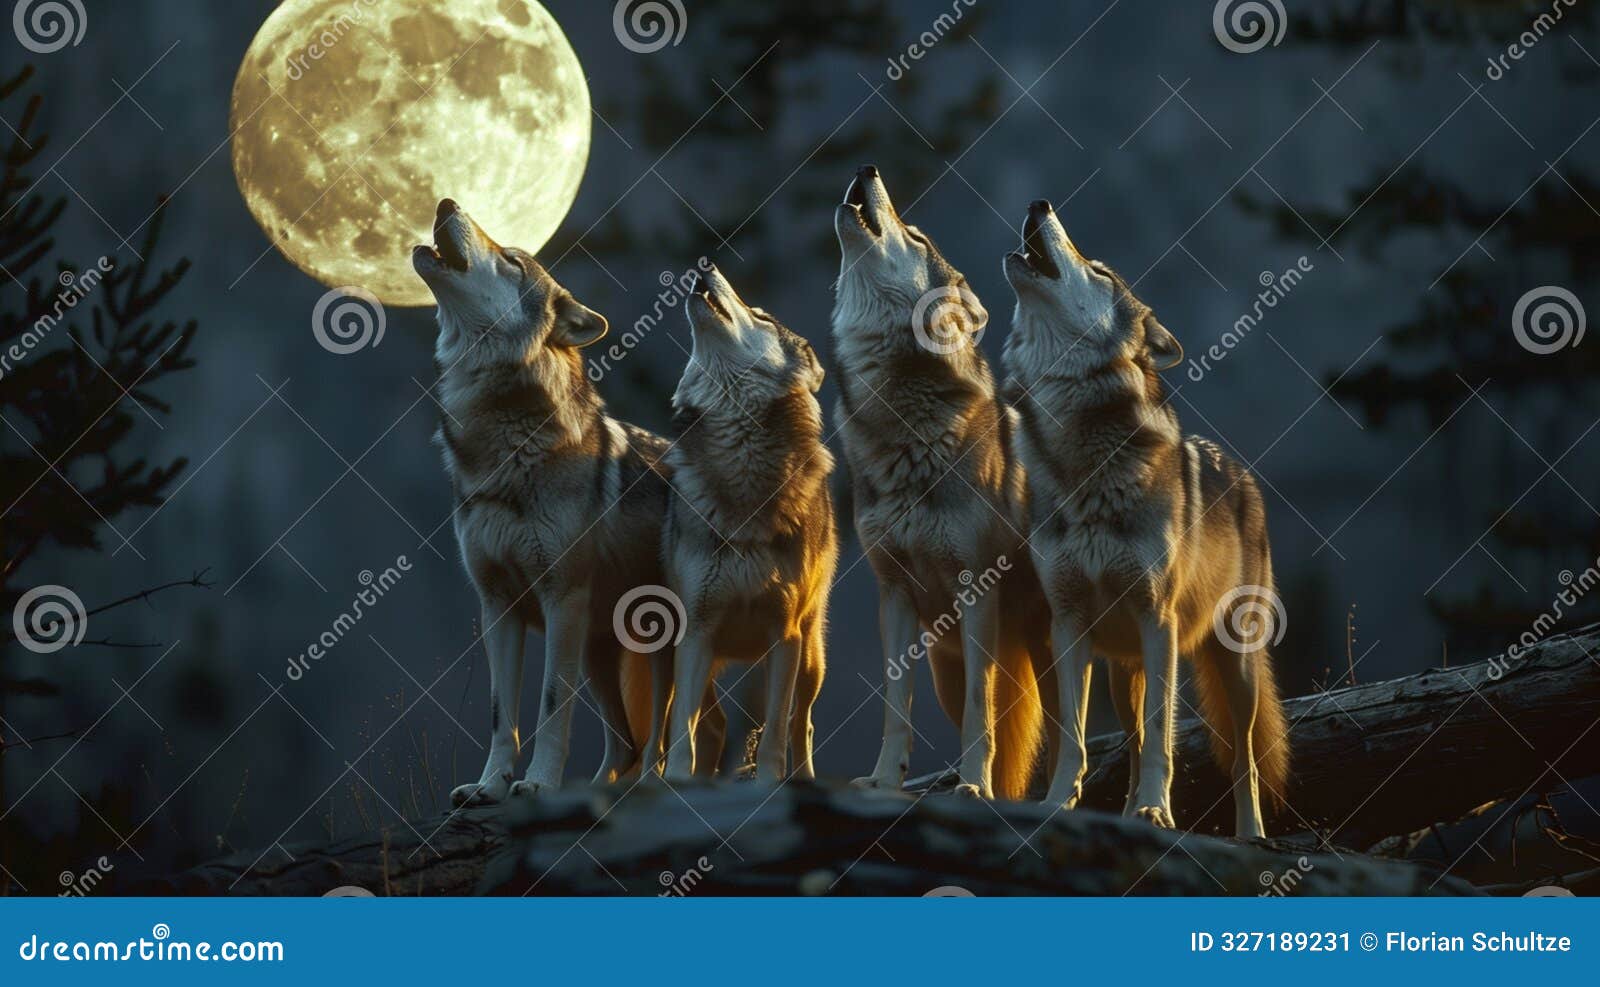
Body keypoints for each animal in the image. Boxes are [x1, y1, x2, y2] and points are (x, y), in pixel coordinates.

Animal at [414, 198, 670, 804]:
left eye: (511, 260)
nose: (446, 202)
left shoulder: (563, 600)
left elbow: (552, 706)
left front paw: (537, 784)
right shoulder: (496, 607)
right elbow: (499, 714)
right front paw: (490, 786)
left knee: (669, 734)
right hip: (601, 653)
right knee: (625, 744)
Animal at [656, 264, 838, 784]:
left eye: (761, 316)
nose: (705, 267)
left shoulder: (784, 634)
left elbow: (775, 731)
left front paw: (771, 782)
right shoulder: (696, 631)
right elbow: (682, 732)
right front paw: (679, 780)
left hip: (812, 656)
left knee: (802, 723)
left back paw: (804, 779)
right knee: (705, 723)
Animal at [831, 166, 1047, 800]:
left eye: (916, 238)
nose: (868, 169)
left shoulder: (976, 590)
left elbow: (982, 710)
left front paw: (973, 786)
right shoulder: (894, 595)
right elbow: (895, 707)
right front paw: (884, 781)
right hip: (948, 664)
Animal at [1000, 198, 1289, 837]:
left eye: (1099, 272)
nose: (1039, 204)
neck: (1083, 460)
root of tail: (1245, 474)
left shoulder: (1160, 621)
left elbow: (1162, 734)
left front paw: (1159, 809)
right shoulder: (1068, 624)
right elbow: (1073, 737)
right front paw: (1057, 803)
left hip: (1235, 665)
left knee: (1244, 758)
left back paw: (1249, 832)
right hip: (1121, 667)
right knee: (1130, 744)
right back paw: (1131, 809)